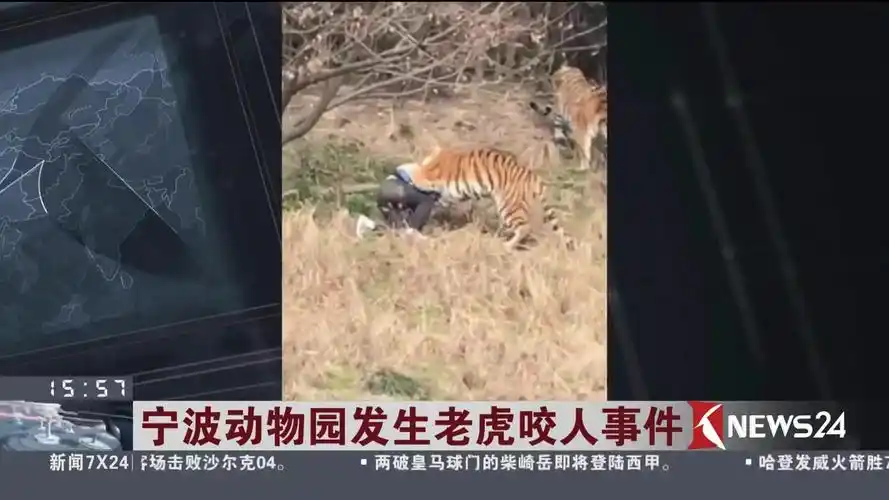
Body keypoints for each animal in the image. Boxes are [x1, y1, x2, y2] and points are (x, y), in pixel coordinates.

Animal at [393, 146, 573, 250]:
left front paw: (402, 168)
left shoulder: (429, 176)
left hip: (509, 206)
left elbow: (415, 171)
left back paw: (506, 245)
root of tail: (534, 177)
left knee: (525, 227)